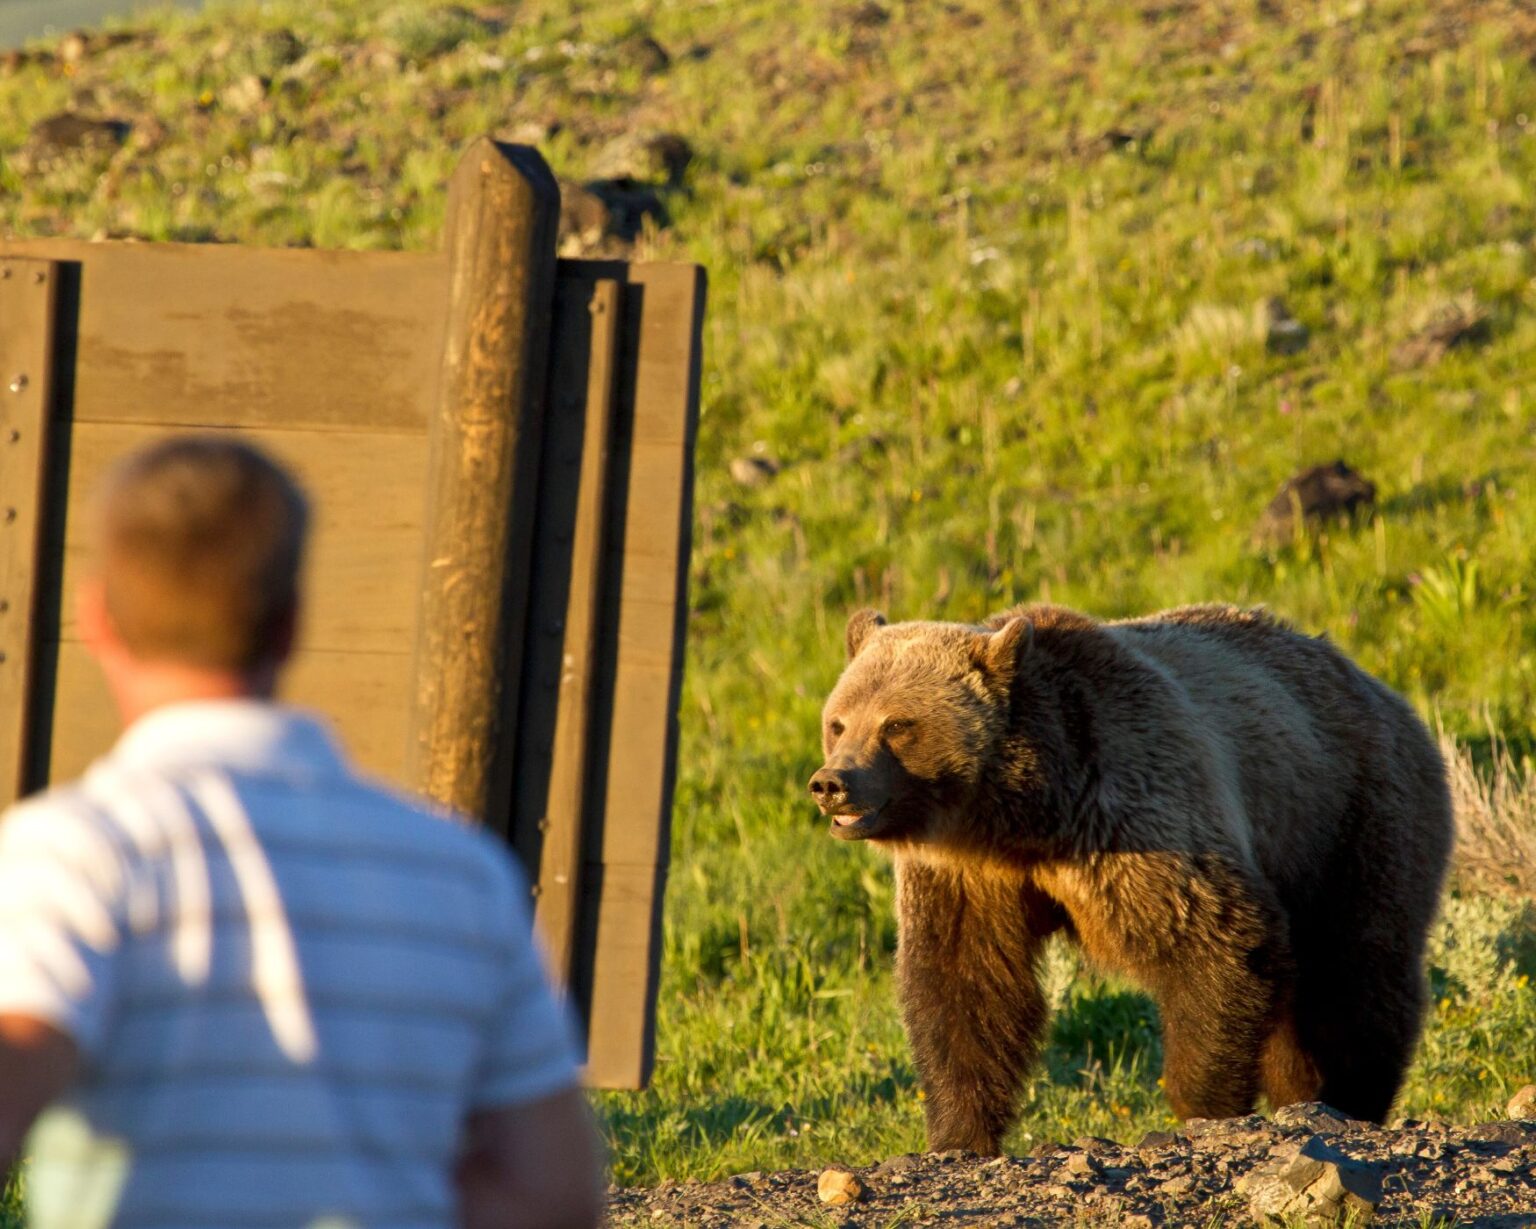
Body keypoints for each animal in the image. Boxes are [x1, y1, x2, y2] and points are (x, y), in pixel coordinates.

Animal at [808, 603, 1452, 1155]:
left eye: (897, 724)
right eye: (838, 723)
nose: (831, 783)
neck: (1020, 812)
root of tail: (1379, 687)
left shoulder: (1131, 808)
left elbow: (1214, 941)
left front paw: (1202, 1107)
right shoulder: (969, 874)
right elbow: (966, 985)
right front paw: (958, 1134)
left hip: (1349, 816)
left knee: (1355, 971)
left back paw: (1346, 1097)